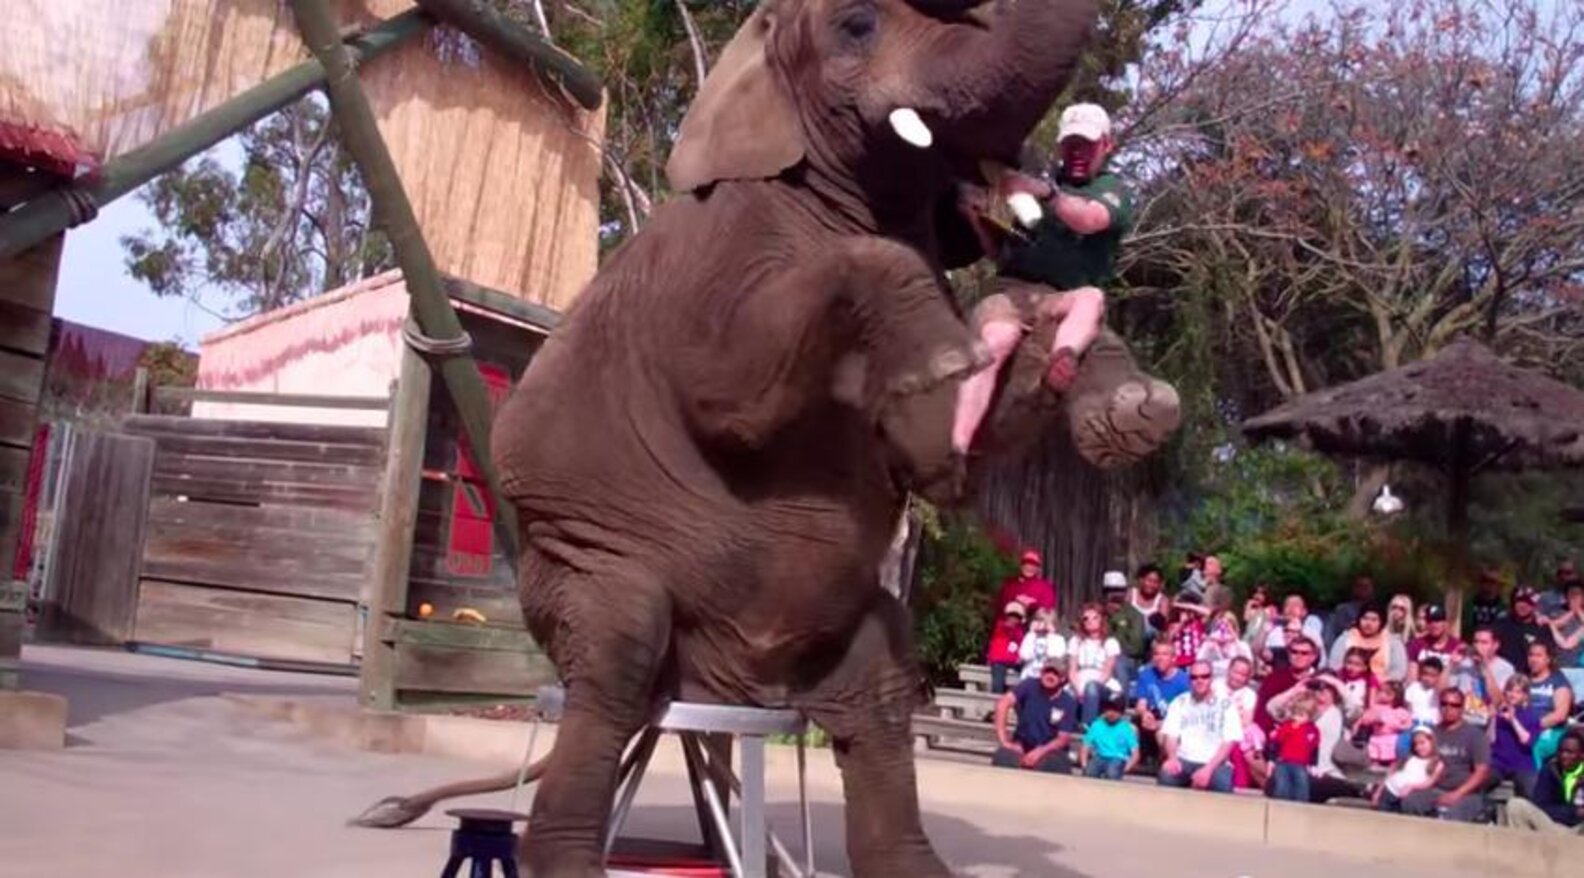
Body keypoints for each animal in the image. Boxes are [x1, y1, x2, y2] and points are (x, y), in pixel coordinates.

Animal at [352, 0, 1180, 874]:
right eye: (856, 25)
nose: (1048, 185)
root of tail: (718, 693)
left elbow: (937, 460)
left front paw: (1110, 398)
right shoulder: (713, 263)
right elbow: (731, 397)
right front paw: (961, 354)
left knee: (881, 687)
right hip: (581, 563)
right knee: (616, 660)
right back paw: (573, 855)